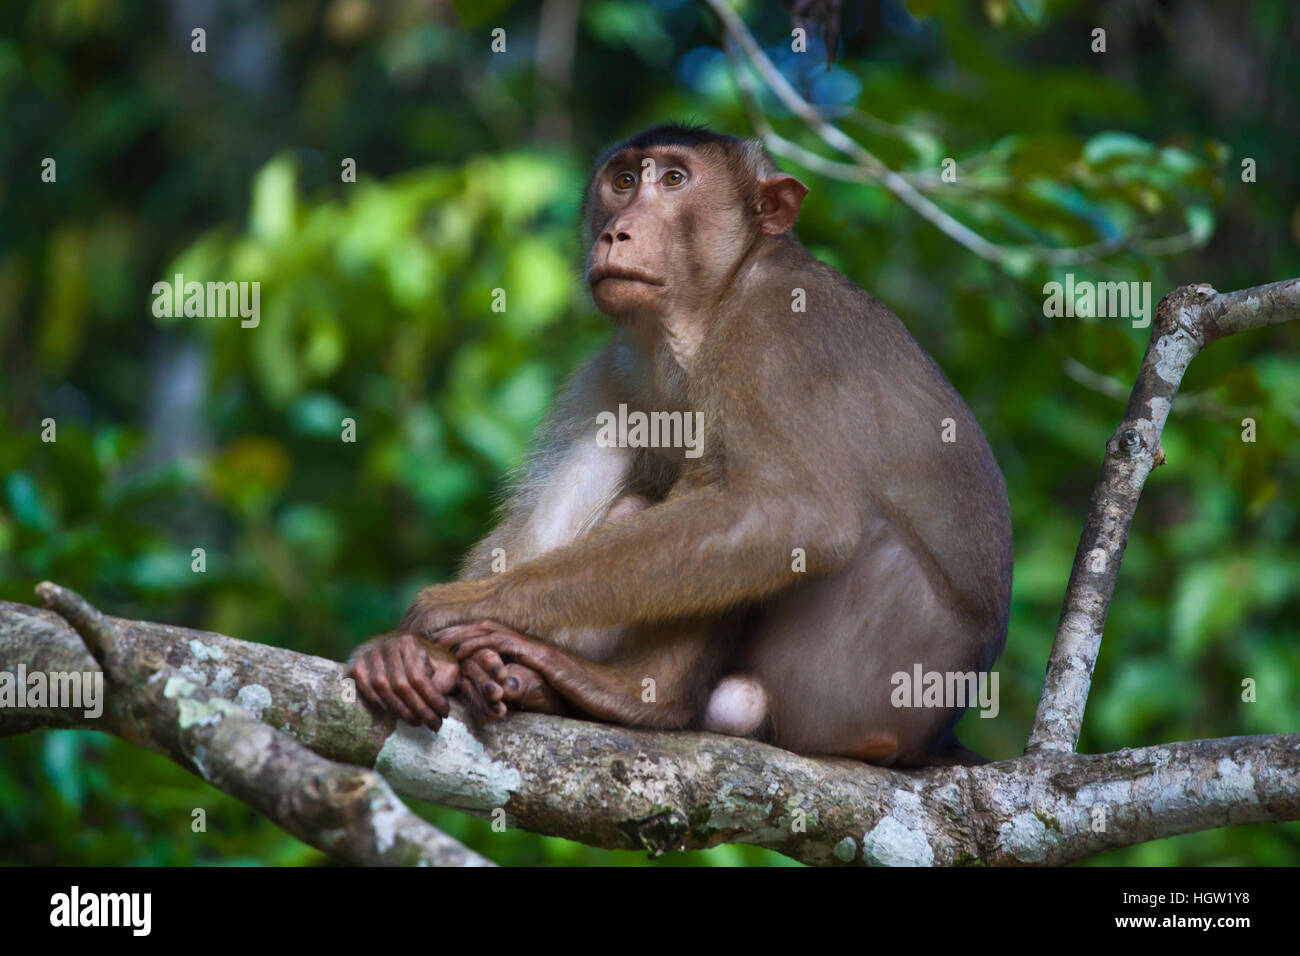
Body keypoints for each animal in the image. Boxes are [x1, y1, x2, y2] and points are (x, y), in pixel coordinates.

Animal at [350, 123, 1012, 766]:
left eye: (673, 179)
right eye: (622, 181)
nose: (618, 231)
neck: (710, 309)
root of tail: (935, 738)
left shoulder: (778, 331)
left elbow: (797, 516)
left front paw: (463, 607)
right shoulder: (618, 365)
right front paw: (410, 650)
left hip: (867, 673)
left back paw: (636, 698)